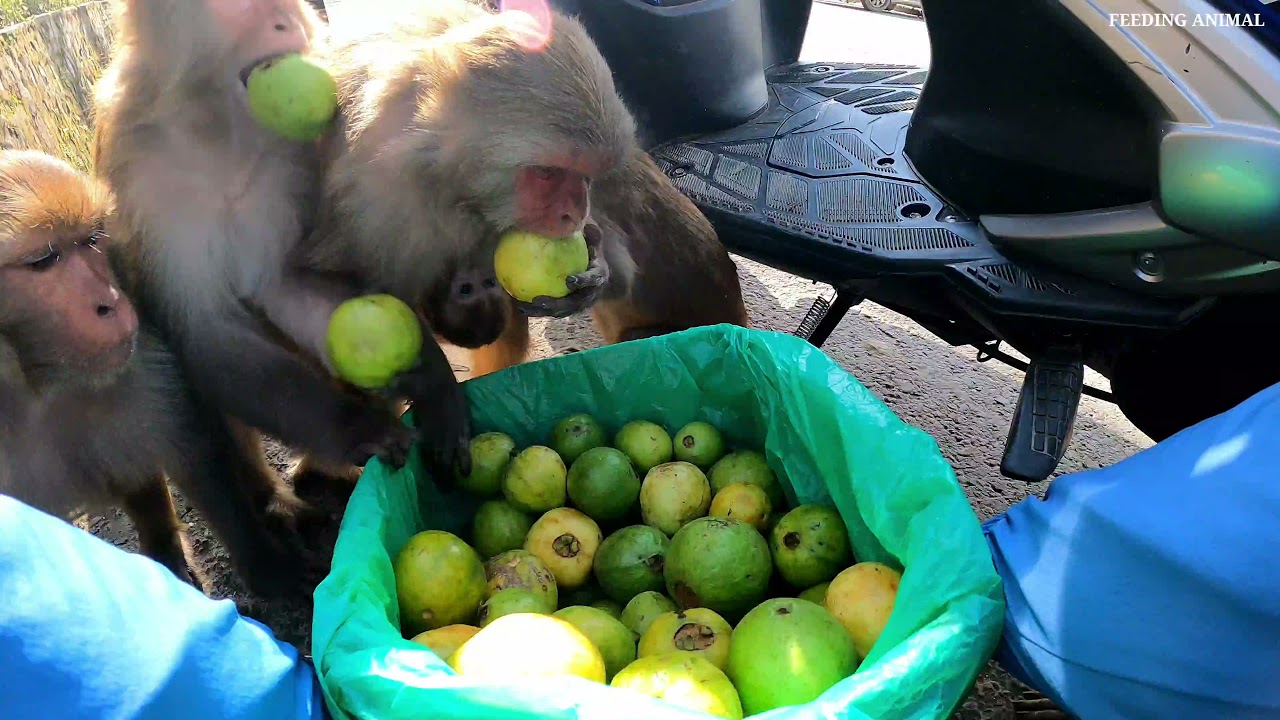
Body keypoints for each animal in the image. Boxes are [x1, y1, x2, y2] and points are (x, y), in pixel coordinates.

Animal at [0, 149, 321, 596]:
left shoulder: (141, 354)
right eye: (44, 259)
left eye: (91, 240)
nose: (111, 302)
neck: (39, 383)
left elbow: (190, 446)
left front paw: (266, 562)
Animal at [90, 0, 473, 495]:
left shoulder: (290, 161)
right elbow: (206, 329)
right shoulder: (146, 171)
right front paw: (356, 429)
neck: (221, 132)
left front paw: (430, 379)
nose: (286, 22)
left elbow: (285, 283)